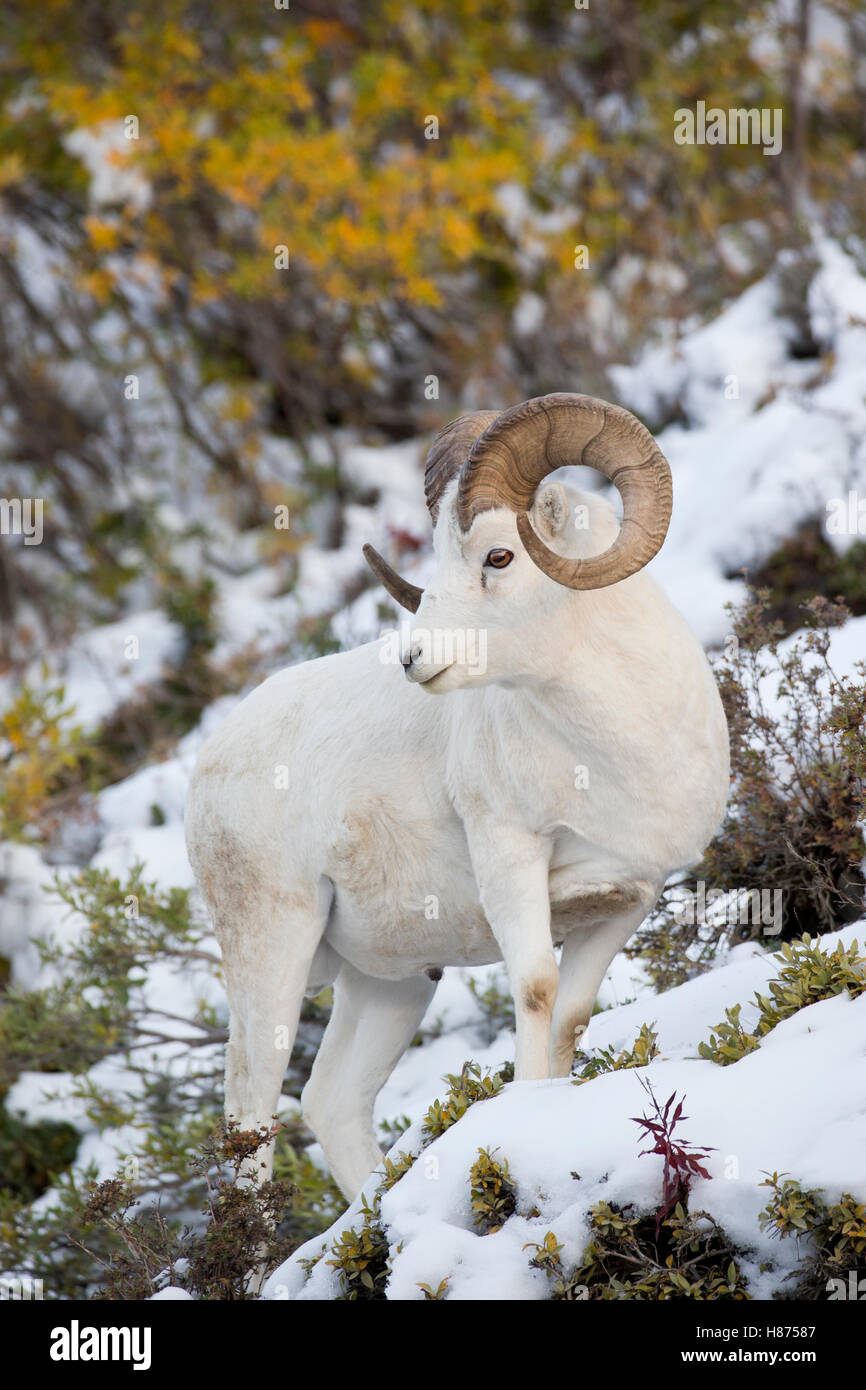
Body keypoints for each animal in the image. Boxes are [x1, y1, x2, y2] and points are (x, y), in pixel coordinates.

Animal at [184, 392, 729, 1200]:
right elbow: (534, 992)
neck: (617, 750)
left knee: (330, 1100)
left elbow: (568, 1016)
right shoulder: (512, 863)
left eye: (499, 556)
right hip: (272, 954)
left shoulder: (625, 903)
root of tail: (205, 770)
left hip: (389, 984)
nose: (416, 660)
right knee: (250, 1119)